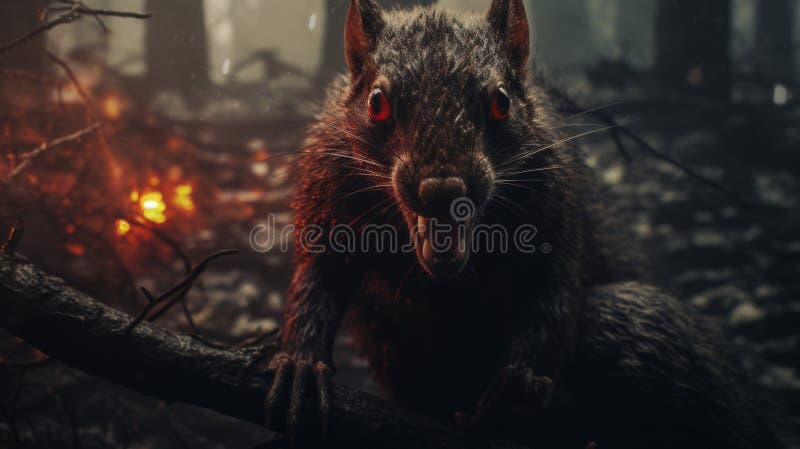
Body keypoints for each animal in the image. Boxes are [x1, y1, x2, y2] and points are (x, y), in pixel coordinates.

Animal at [264, 1, 782, 448]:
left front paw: (514, 388)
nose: (442, 189)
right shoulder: (327, 192)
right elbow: (316, 280)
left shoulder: (555, 212)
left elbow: (551, 299)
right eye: (376, 103)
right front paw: (302, 365)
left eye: (501, 101)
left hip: (641, 323)